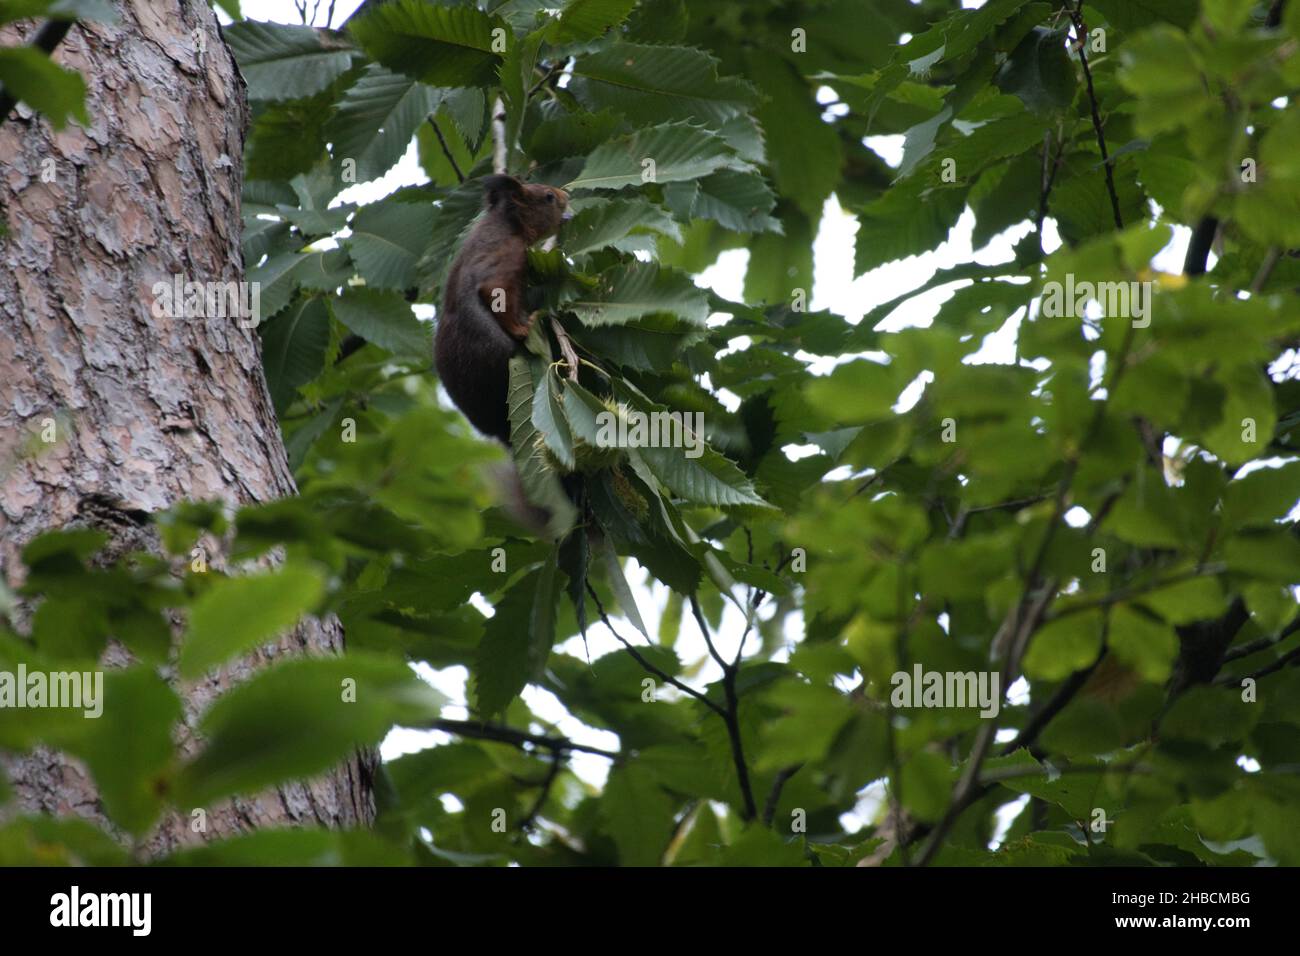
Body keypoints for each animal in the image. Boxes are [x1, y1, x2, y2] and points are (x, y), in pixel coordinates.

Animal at [435, 174, 572, 443]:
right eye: (549, 197)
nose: (567, 196)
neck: (509, 222)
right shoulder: (509, 254)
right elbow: (495, 290)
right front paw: (525, 327)